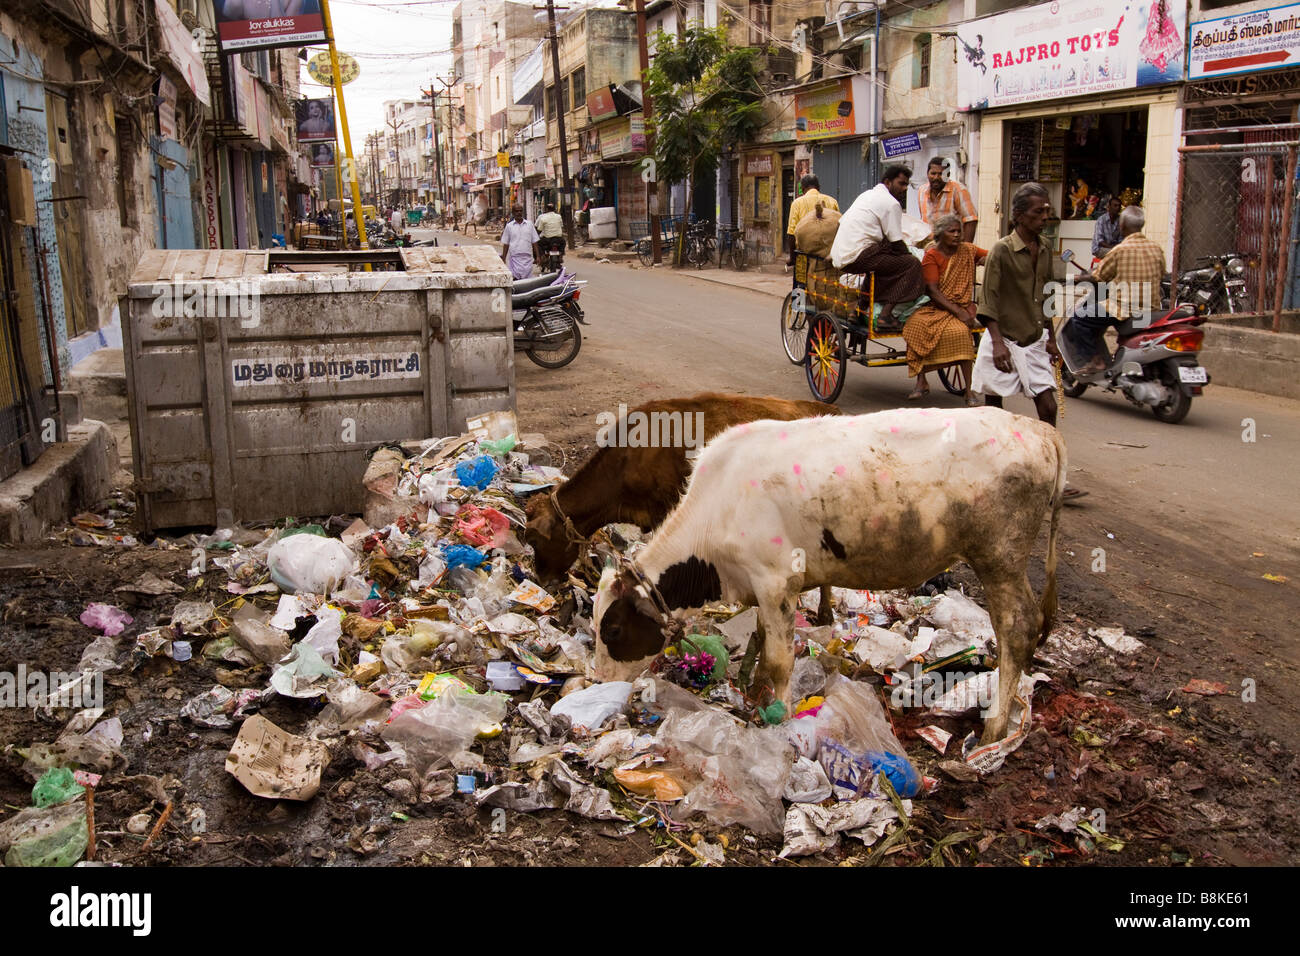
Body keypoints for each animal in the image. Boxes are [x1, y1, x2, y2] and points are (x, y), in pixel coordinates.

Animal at [592, 406, 1066, 744]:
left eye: (612, 630)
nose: (598, 684)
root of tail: (1038, 429)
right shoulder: (765, 589)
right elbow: (762, 642)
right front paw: (754, 692)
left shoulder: (776, 580)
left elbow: (780, 660)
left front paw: (779, 716)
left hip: (1000, 558)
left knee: (1017, 628)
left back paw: (995, 727)